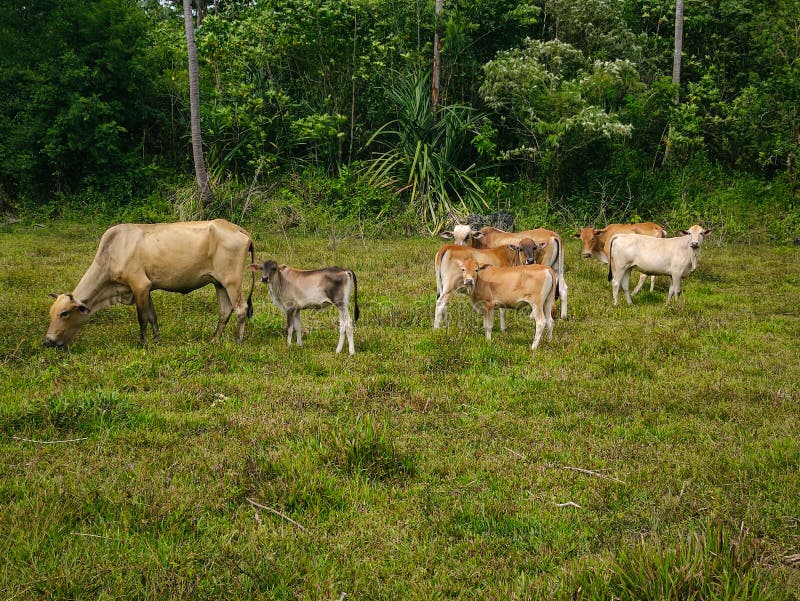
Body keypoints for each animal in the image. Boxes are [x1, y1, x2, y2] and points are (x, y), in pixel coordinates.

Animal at [45, 219, 255, 347]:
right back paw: (213, 340)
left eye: (64, 313)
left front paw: (143, 343)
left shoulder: (139, 285)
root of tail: (237, 228)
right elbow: (152, 317)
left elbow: (142, 318)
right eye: (51, 313)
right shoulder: (146, 289)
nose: (48, 341)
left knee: (241, 309)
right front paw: (157, 341)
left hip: (232, 281)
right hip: (219, 283)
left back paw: (238, 342)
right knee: (224, 311)